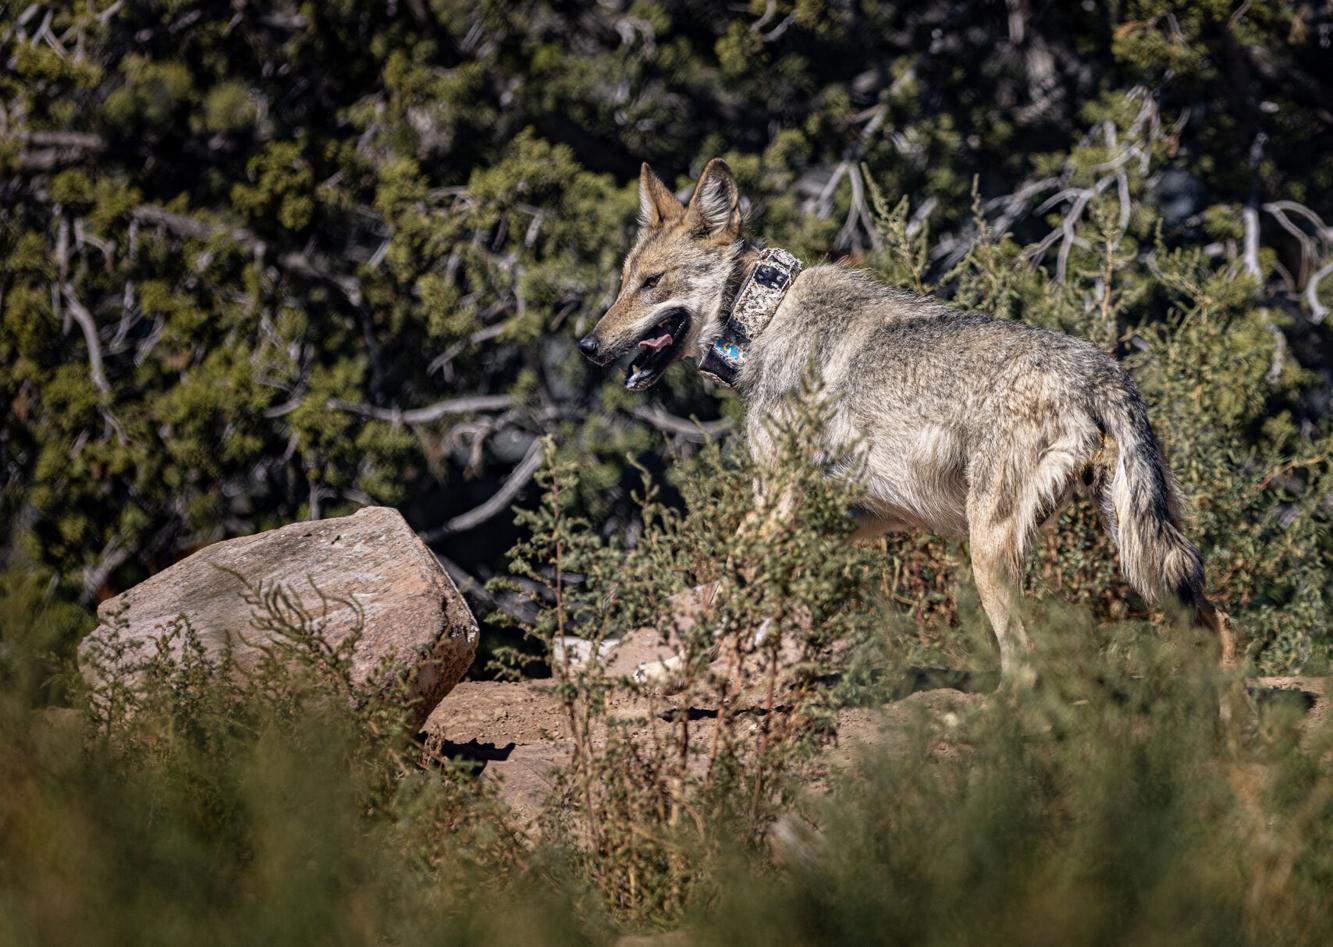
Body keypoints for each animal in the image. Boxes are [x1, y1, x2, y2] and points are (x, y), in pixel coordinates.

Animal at [577, 158, 1235, 682]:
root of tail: (1103, 372)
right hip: (1138, 551)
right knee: (1219, 623)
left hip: (994, 550)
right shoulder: (832, 520)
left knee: (1024, 662)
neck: (764, 318)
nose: (587, 345)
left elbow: (722, 594)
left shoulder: (774, 502)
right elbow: (754, 606)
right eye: (623, 284)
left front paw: (663, 674)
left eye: (652, 283)